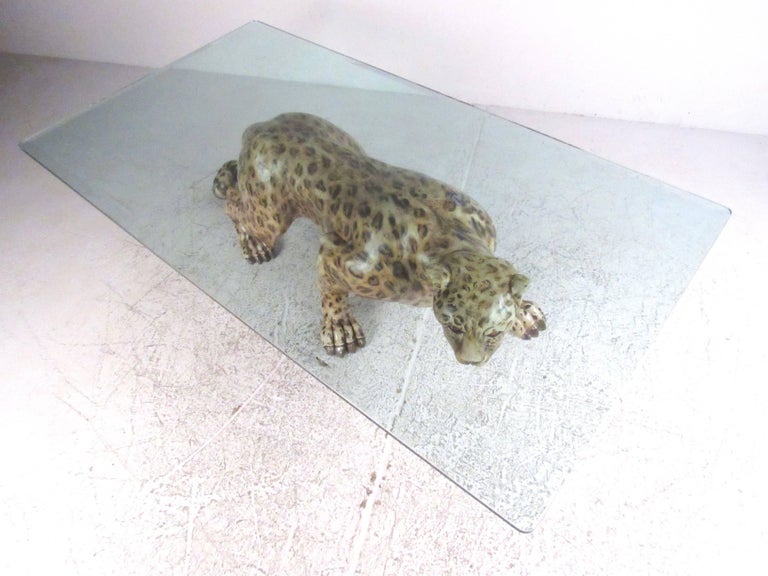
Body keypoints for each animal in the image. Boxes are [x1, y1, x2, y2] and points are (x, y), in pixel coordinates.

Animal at [213, 113, 545, 366]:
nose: (471, 361)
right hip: (268, 215)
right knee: (233, 201)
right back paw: (252, 242)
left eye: (494, 332)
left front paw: (524, 314)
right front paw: (340, 328)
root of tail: (259, 125)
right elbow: (330, 288)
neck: (450, 238)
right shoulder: (339, 257)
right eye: (453, 325)